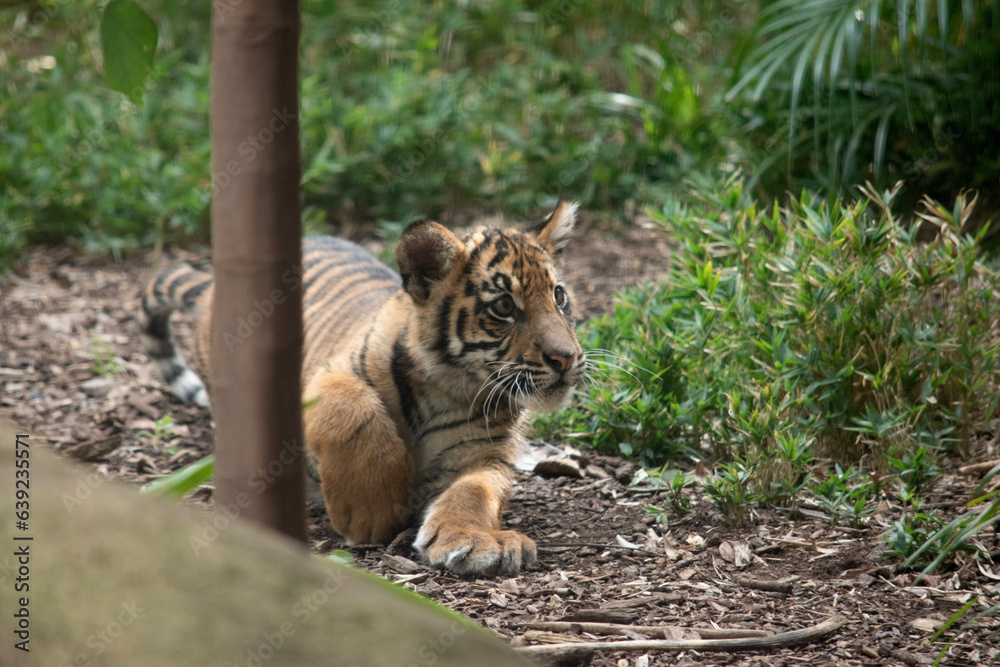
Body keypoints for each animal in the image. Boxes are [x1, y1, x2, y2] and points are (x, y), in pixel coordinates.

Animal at [139, 201, 585, 576]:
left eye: (558, 296)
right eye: (504, 306)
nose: (566, 358)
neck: (451, 387)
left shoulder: (484, 454)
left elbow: (476, 491)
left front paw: (478, 542)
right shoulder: (325, 375)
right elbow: (353, 411)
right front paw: (370, 514)